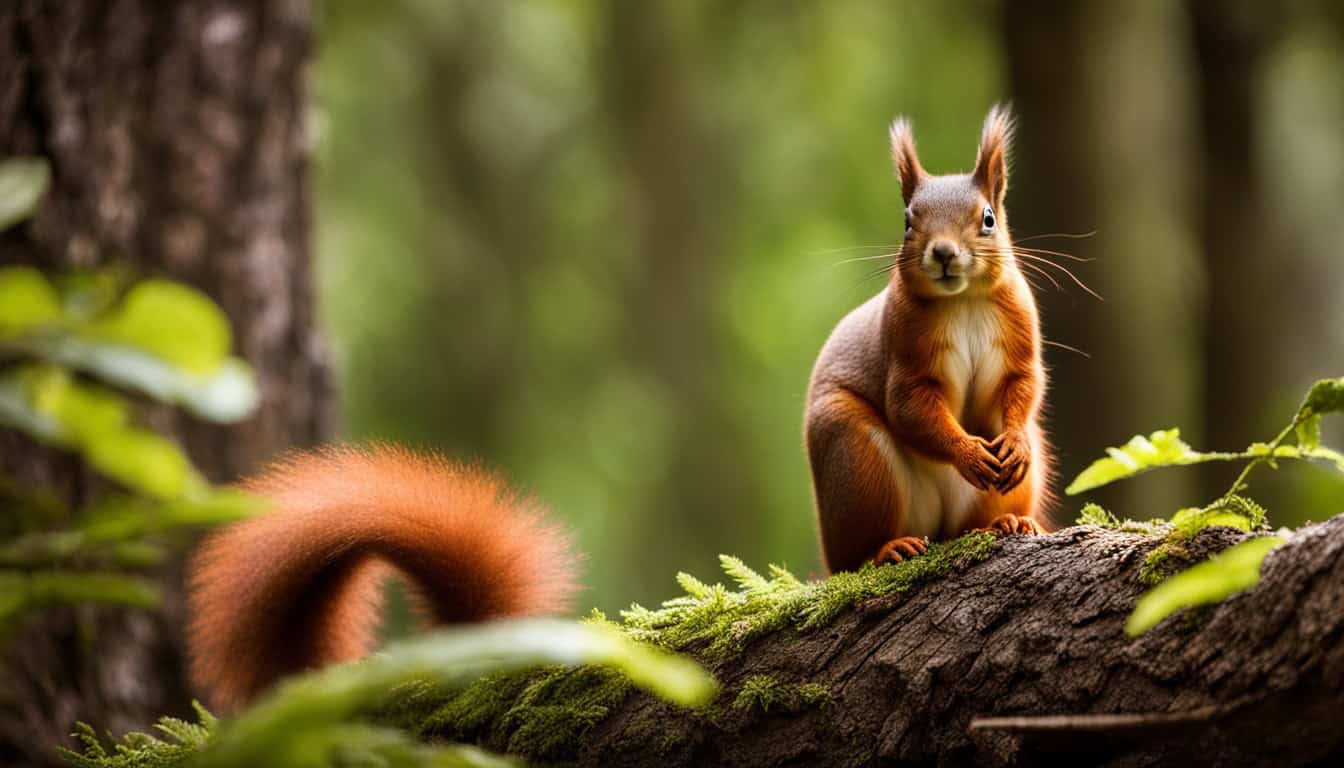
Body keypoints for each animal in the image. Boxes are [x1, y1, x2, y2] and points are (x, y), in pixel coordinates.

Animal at [805, 104, 1054, 574]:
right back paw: (886, 549)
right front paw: (967, 453)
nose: (943, 253)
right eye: (907, 222)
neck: (965, 301)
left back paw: (1008, 522)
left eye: (989, 218)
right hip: (854, 456)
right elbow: (910, 409)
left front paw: (1013, 442)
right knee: (855, 554)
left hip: (1010, 486)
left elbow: (1024, 384)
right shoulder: (905, 347)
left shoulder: (1019, 330)